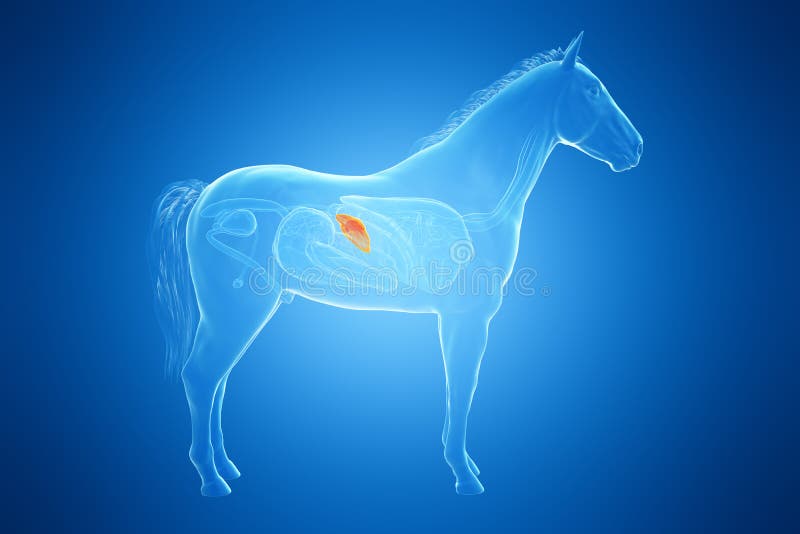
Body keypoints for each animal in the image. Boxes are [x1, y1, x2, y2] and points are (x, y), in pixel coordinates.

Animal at [149, 32, 643, 497]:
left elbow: (458, 390)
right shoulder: (467, 319)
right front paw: (465, 476)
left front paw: (466, 466)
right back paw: (212, 480)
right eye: (593, 90)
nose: (636, 148)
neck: (470, 194)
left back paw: (227, 468)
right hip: (235, 312)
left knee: (217, 382)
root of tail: (206, 196)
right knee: (202, 377)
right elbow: (461, 389)